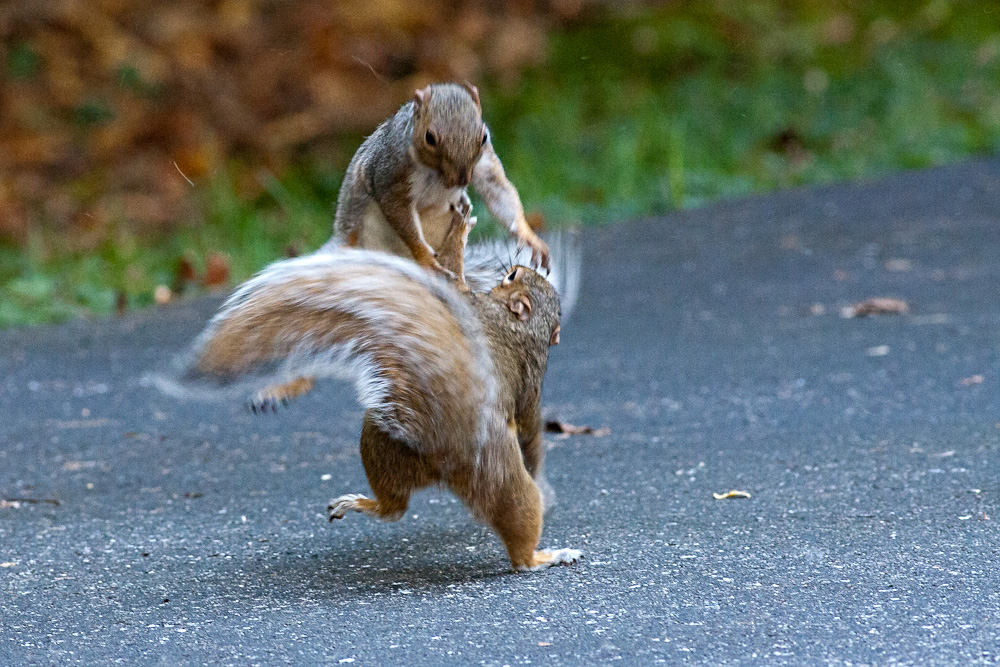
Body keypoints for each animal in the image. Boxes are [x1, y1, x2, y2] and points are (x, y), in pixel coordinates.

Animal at [162, 203, 580, 572]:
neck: (526, 331)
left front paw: (458, 234)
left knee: (513, 538)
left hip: (477, 469)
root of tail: (447, 448)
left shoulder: (474, 307)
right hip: (386, 450)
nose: (513, 266)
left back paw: (542, 557)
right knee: (397, 506)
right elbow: (530, 430)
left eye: (511, 279)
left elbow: (454, 283)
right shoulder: (528, 390)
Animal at [326, 81, 550, 276]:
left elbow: (498, 192)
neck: (436, 172)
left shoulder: (485, 162)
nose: (461, 180)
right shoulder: (391, 173)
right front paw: (425, 259)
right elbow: (400, 214)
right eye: (429, 138)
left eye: (484, 136)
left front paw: (529, 237)